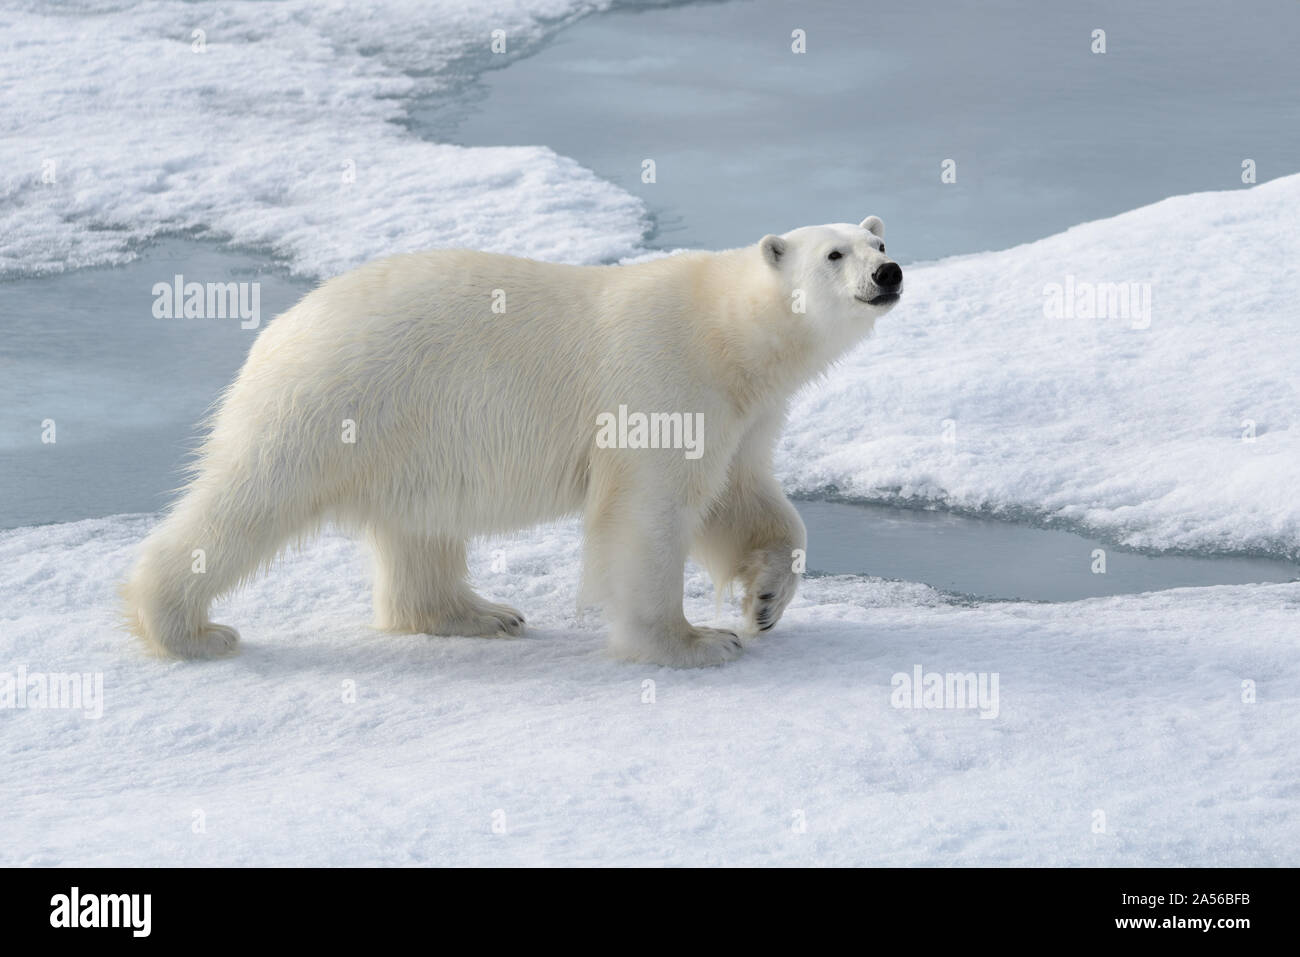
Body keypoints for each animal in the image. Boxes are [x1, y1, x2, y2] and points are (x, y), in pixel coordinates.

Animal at [122, 216, 903, 667]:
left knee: (418, 529)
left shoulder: (743, 413)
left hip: (408, 431)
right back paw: (187, 629)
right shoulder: (663, 380)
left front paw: (764, 600)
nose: (888, 273)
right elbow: (648, 513)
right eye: (834, 253)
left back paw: (478, 613)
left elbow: (747, 498)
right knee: (249, 499)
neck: (726, 333)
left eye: (882, 242)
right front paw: (692, 643)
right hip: (335, 401)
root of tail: (280, 329)